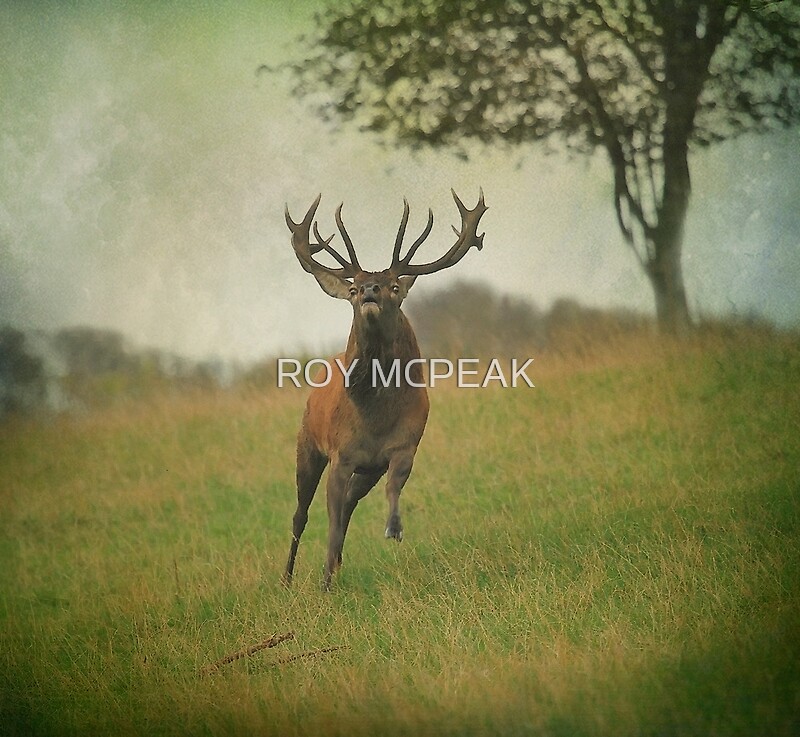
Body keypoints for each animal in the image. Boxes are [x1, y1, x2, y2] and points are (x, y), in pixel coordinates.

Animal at [282, 189, 488, 590]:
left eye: (394, 286)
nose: (368, 290)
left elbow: (391, 489)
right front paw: (324, 581)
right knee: (301, 514)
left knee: (348, 504)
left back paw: (335, 565)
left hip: (365, 470)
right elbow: (328, 519)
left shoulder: (404, 446)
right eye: (351, 288)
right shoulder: (340, 454)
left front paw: (393, 528)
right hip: (307, 444)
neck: (374, 418)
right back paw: (286, 579)